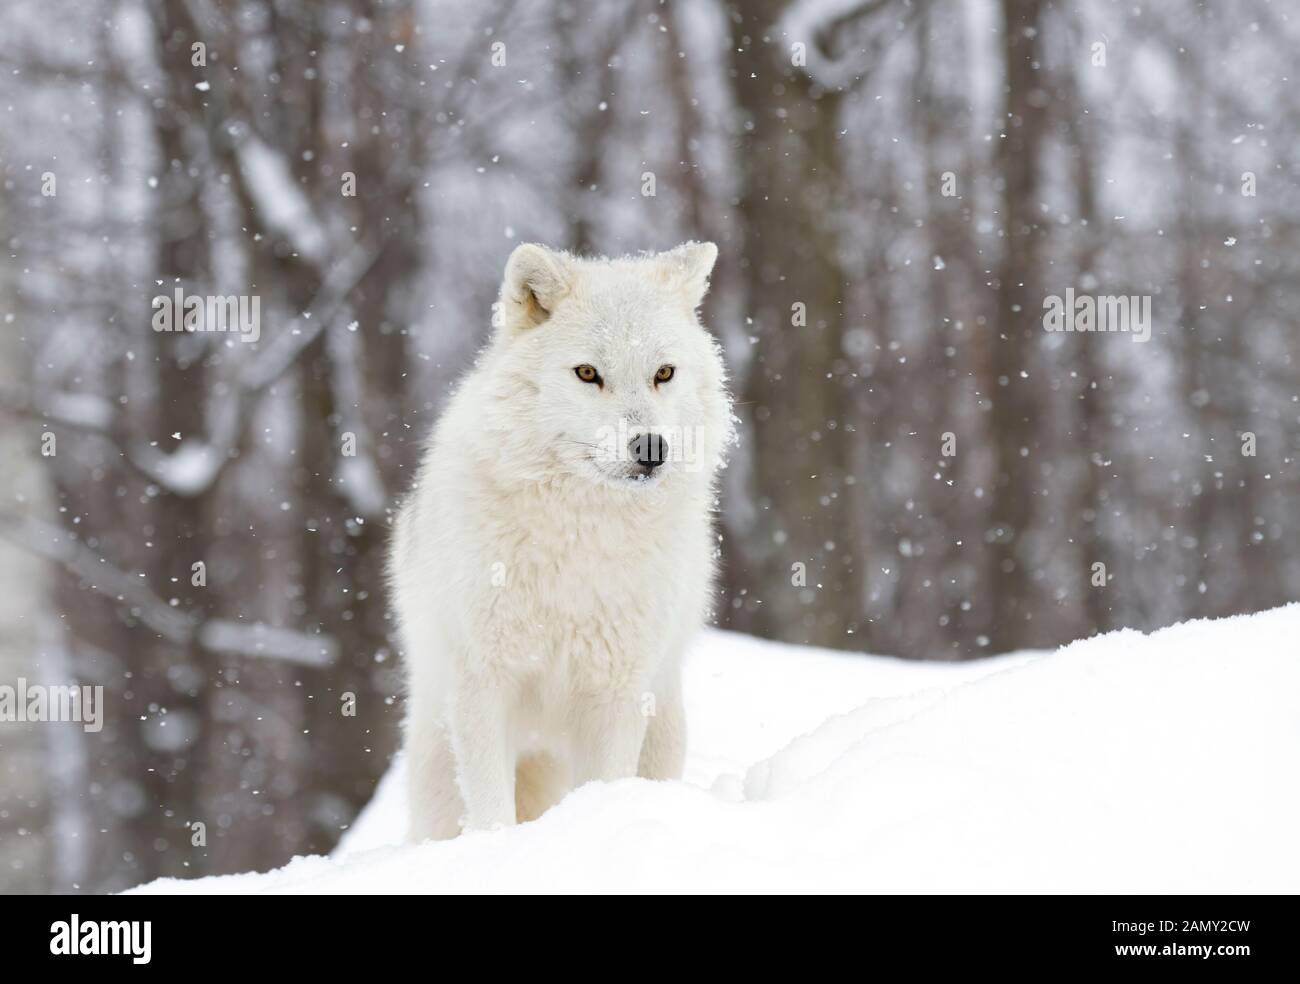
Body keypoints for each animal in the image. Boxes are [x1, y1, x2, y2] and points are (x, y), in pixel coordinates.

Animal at [389, 241, 732, 839]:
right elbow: (491, 809)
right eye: (588, 373)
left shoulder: (617, 693)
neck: (579, 534)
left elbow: (607, 782)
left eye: (664, 372)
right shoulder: (483, 684)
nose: (650, 447)